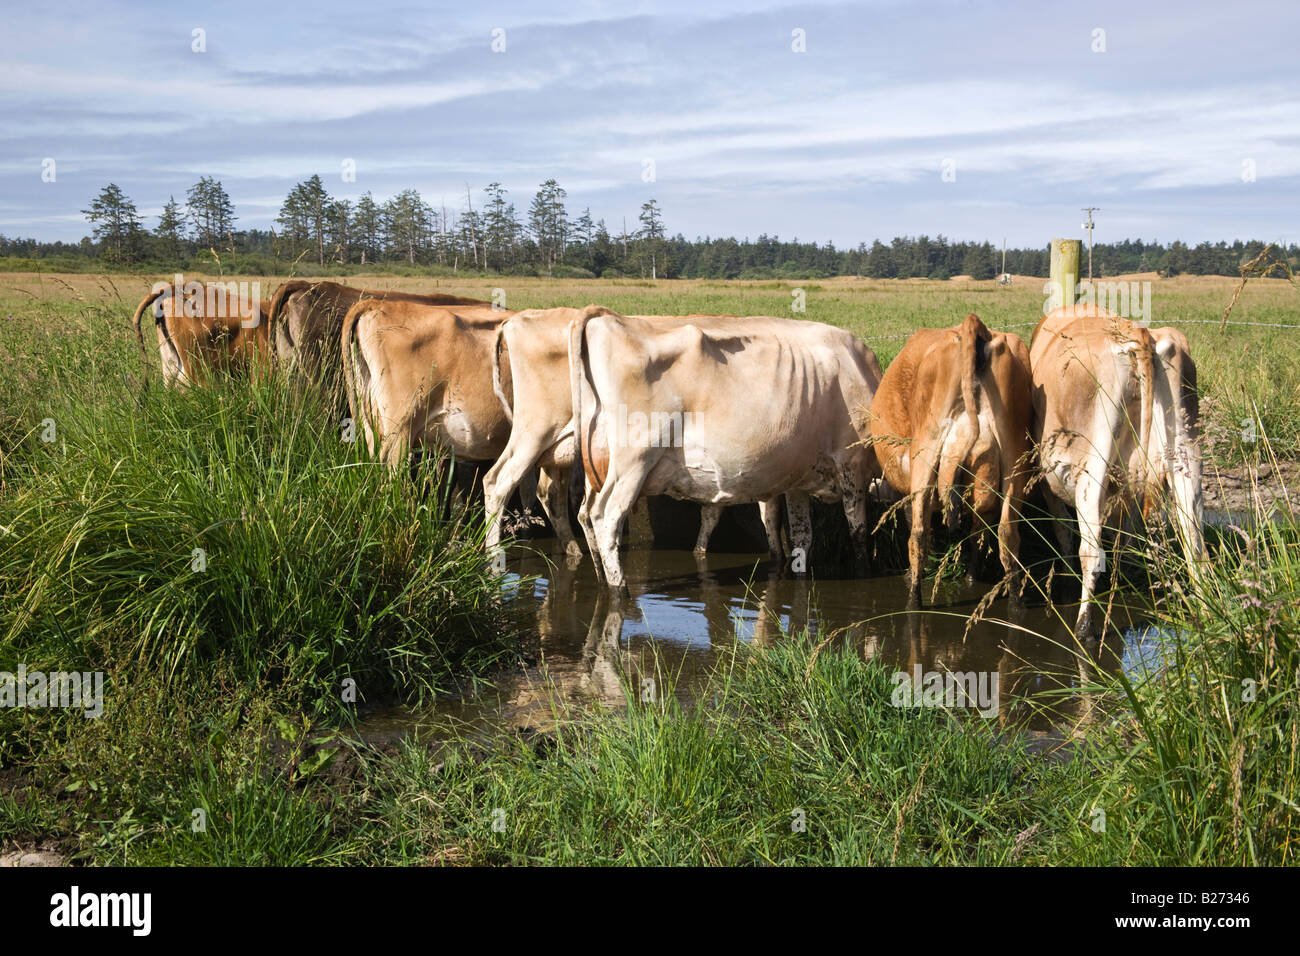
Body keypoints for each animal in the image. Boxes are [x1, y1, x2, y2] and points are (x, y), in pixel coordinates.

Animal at [569, 306, 882, 588]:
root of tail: (606, 316)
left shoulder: (797, 479)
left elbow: (800, 538)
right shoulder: (853, 463)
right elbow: (859, 534)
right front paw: (865, 575)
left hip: (598, 464)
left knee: (585, 514)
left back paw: (600, 579)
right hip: (633, 461)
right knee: (606, 518)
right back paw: (617, 588)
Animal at [870, 313, 1033, 608]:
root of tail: (972, 324)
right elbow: (979, 533)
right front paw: (970, 577)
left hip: (926, 449)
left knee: (918, 535)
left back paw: (913, 601)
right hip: (1015, 459)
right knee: (1007, 535)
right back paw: (1016, 603)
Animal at [1029, 304, 1204, 638]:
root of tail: (1138, 333)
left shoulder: (1050, 478)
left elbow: (1063, 531)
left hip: (1092, 466)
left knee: (1090, 549)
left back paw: (1083, 625)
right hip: (1185, 453)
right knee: (1192, 534)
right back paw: (1205, 606)